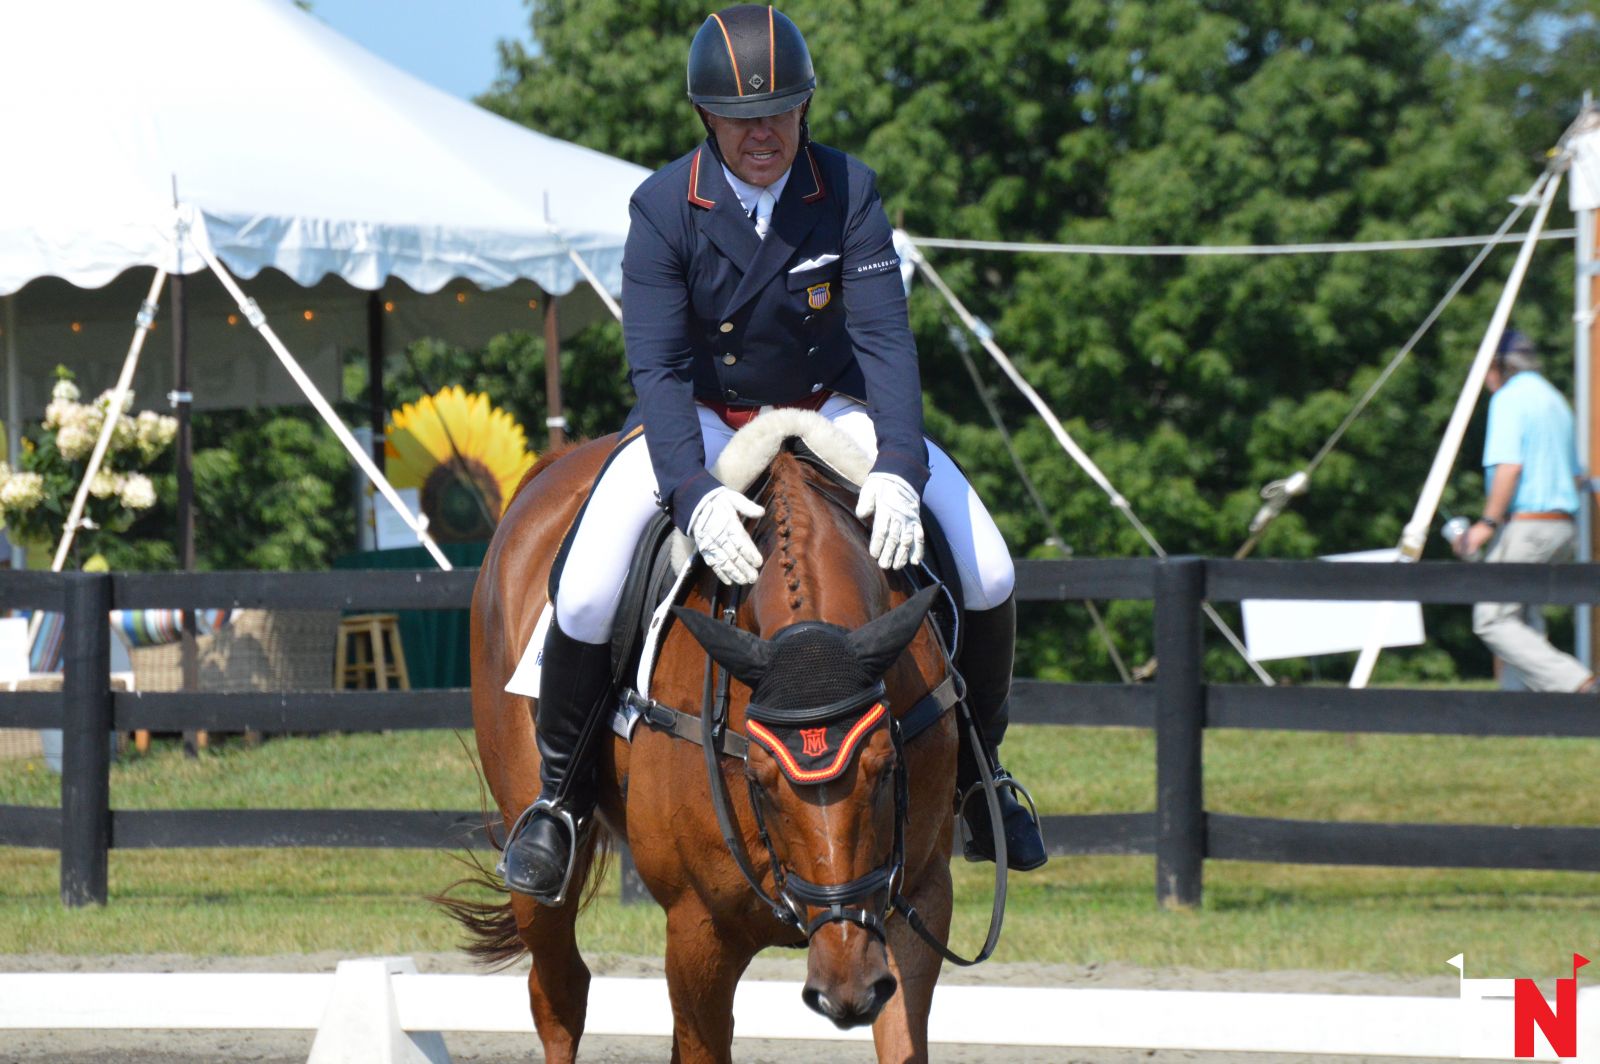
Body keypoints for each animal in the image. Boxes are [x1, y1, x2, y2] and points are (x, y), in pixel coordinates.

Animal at [448, 413, 966, 1063]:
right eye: (760, 782)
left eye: (886, 767)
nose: (846, 991)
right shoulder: (697, 930)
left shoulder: (914, 899)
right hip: (535, 858)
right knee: (560, 994)